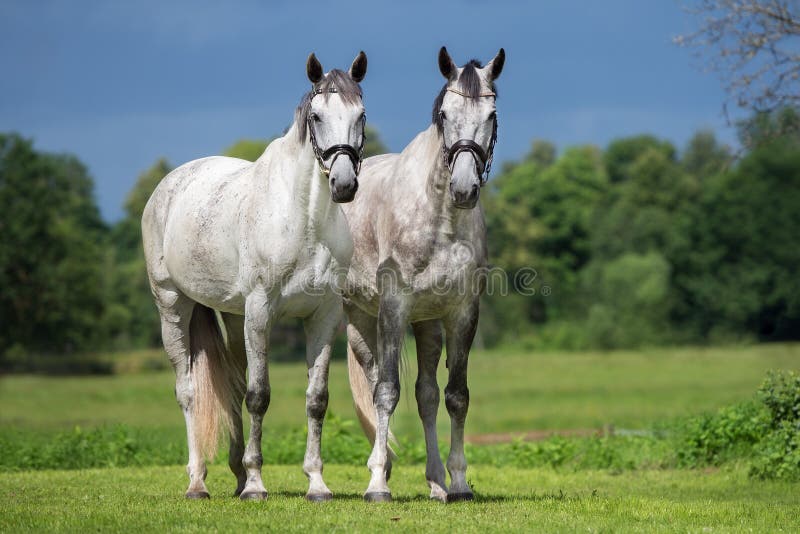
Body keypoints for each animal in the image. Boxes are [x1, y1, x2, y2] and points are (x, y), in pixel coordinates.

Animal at [141, 51, 368, 501]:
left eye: (361, 115)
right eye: (316, 116)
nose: (343, 184)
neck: (305, 220)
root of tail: (169, 185)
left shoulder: (324, 316)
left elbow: (316, 399)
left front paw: (316, 483)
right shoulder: (262, 311)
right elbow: (259, 396)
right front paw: (257, 486)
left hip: (232, 316)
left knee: (230, 384)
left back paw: (236, 474)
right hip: (173, 306)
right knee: (189, 391)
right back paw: (198, 482)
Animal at [342, 47, 505, 502]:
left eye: (491, 115)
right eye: (445, 115)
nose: (464, 188)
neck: (440, 219)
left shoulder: (462, 313)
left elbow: (455, 396)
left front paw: (459, 482)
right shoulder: (393, 309)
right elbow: (386, 392)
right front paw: (377, 485)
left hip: (427, 323)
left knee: (427, 394)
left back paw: (436, 483)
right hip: (361, 320)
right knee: (375, 383)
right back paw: (381, 469)